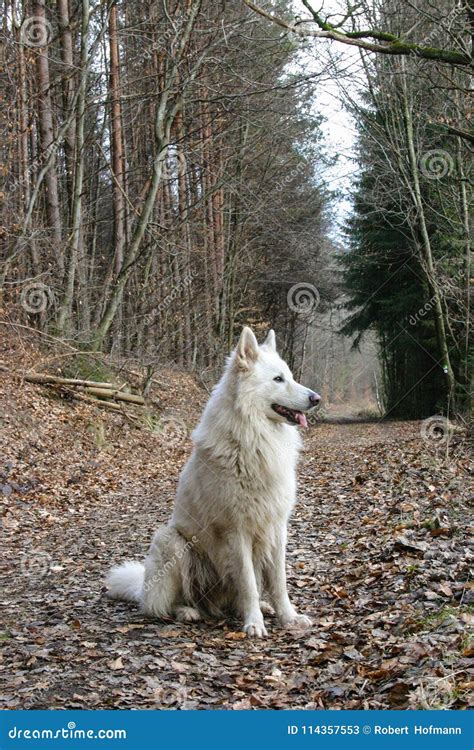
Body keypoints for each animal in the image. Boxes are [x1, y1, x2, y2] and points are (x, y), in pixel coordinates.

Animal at [106, 326, 320, 637]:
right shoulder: (236, 531)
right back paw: (188, 611)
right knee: (165, 604)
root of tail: (143, 590)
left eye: (290, 376)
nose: (317, 398)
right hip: (171, 541)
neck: (254, 438)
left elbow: (278, 583)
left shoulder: (277, 527)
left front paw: (288, 617)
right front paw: (254, 624)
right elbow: (249, 584)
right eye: (278, 379)